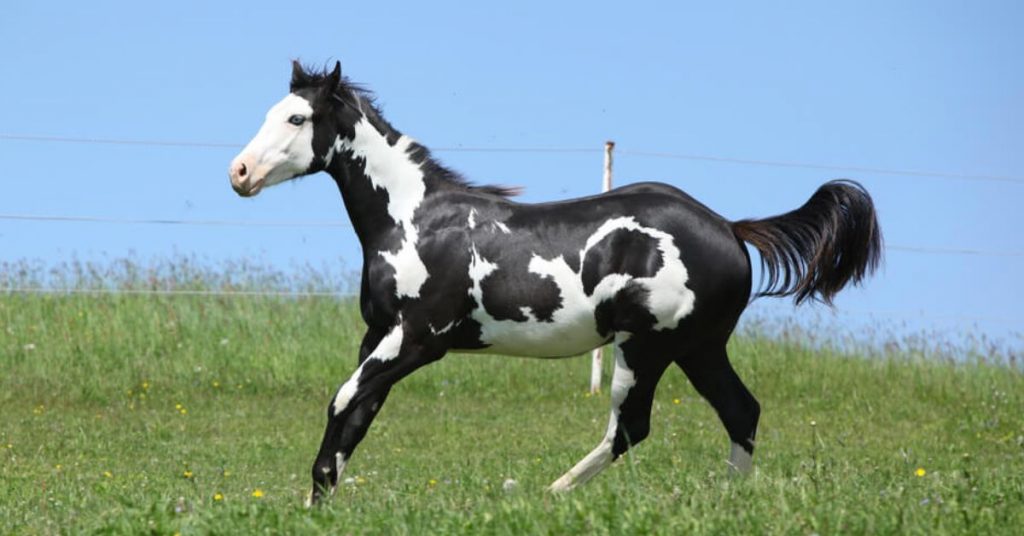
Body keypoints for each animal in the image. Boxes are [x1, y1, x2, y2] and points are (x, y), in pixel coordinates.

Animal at [228, 61, 882, 505]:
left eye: (296, 118)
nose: (240, 172)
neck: (416, 221)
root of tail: (729, 227)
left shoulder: (417, 340)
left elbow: (342, 400)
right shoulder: (379, 337)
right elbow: (356, 414)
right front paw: (319, 501)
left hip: (646, 347)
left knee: (631, 427)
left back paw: (549, 492)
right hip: (699, 347)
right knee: (740, 412)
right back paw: (728, 500)